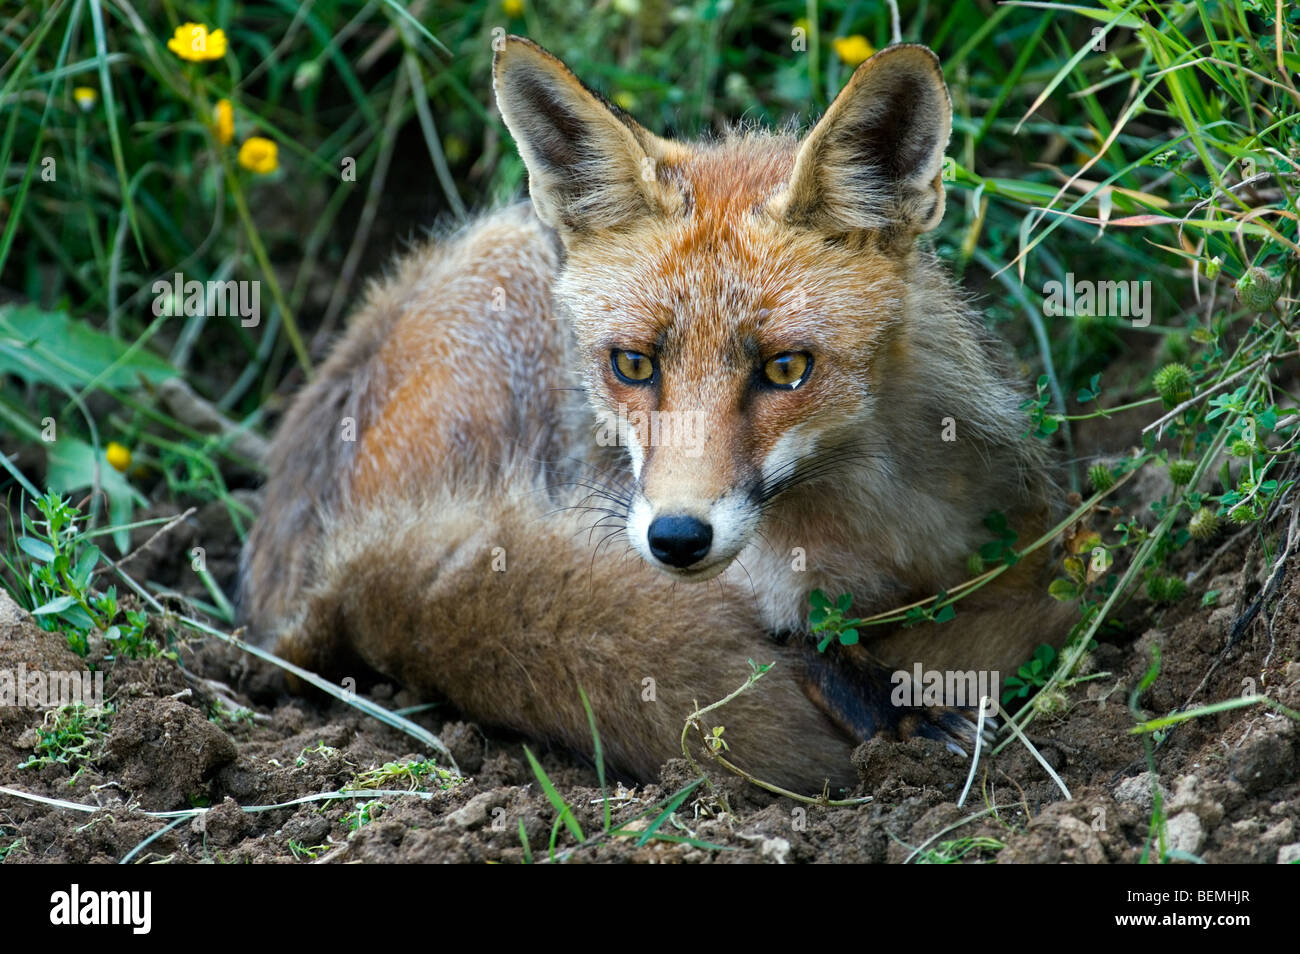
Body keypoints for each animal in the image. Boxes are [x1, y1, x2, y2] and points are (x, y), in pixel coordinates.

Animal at [240, 36, 1073, 791]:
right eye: (633, 365)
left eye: (786, 369)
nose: (676, 538)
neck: (870, 521)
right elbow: (801, 636)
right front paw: (895, 706)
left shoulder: (1023, 524)